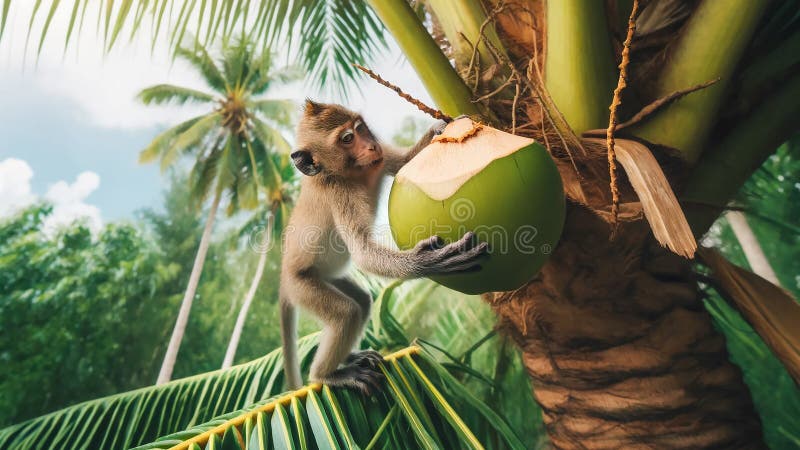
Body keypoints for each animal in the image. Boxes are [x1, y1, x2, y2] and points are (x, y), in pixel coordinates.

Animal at [279, 100, 488, 394]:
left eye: (360, 128)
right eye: (347, 139)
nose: (371, 146)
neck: (350, 173)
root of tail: (283, 278)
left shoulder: (379, 160)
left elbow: (404, 161)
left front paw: (439, 128)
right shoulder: (339, 193)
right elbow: (363, 252)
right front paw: (428, 262)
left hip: (325, 277)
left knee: (362, 300)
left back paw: (349, 357)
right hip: (302, 285)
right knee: (345, 313)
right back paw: (326, 375)